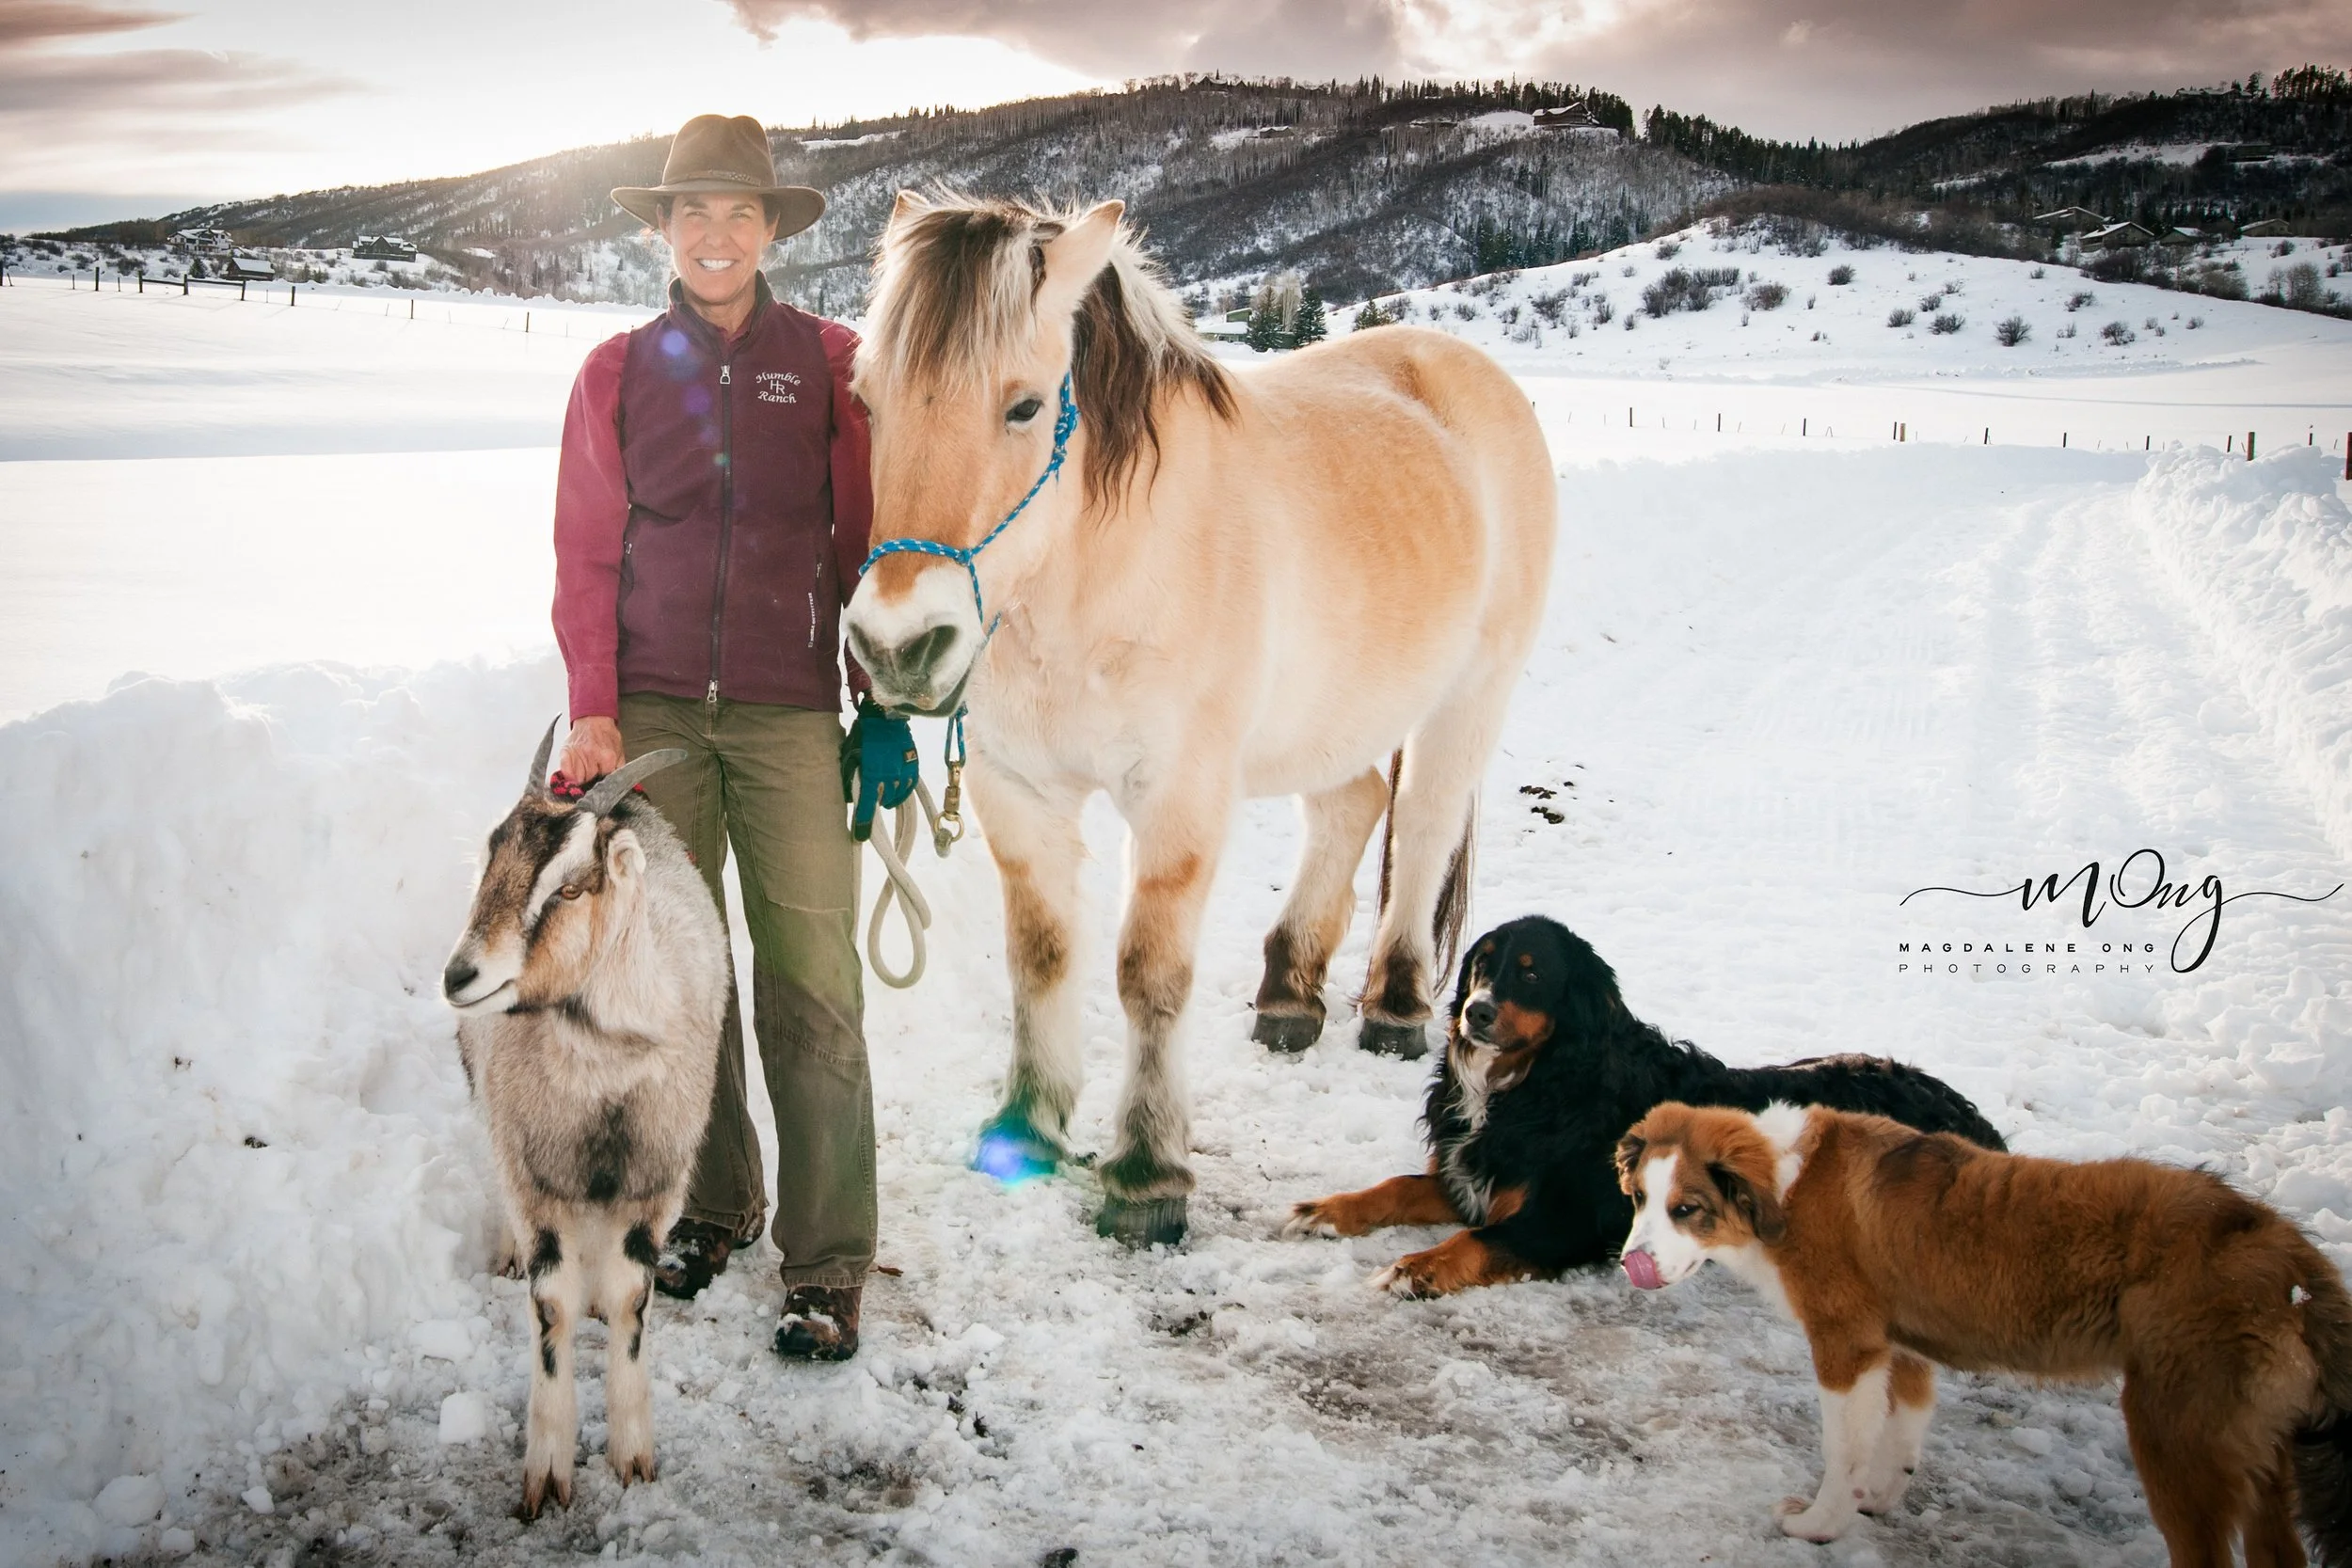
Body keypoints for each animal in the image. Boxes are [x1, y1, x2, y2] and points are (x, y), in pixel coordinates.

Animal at [844, 191, 1557, 1246]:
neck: (1093, 578)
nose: (896, 644)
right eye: (865, 402)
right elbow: (1041, 957)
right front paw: (1028, 1124)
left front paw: (1147, 1173)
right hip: (1330, 717)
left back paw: (1392, 1004)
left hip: (1472, 693)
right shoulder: (1021, 790)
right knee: (1349, 804)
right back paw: (1289, 992)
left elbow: (1148, 974)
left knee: (1421, 824)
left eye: (1023, 405)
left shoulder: (1177, 795)